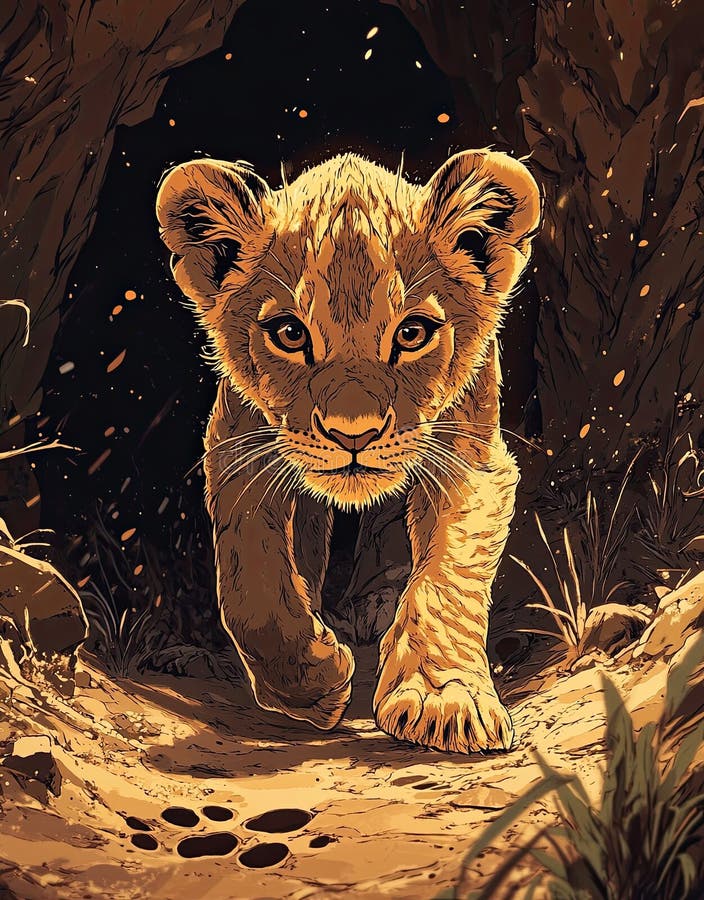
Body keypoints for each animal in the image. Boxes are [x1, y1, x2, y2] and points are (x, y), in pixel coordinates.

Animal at [155, 149, 540, 754]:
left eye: (412, 334)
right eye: (289, 334)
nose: (352, 434)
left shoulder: (472, 455)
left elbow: (448, 576)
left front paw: (443, 699)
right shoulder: (238, 446)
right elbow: (252, 581)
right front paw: (311, 683)